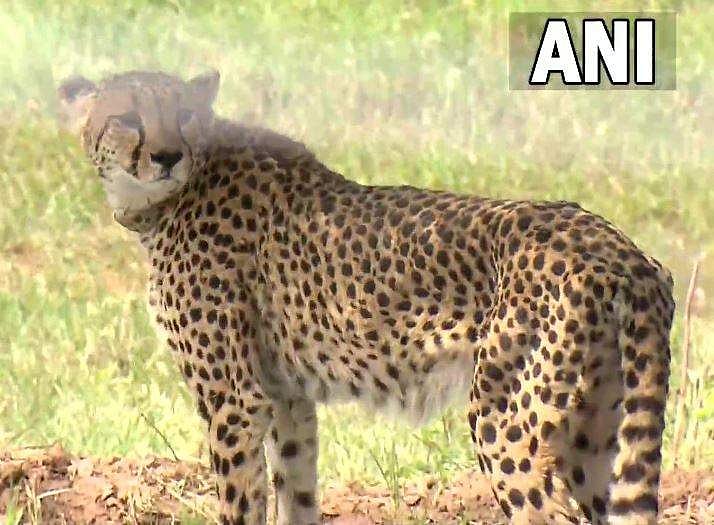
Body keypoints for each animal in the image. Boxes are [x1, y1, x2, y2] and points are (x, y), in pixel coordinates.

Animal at [58, 70, 675, 525]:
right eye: (127, 118)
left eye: (183, 114)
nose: (166, 156)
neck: (175, 194)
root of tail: (621, 250)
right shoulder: (287, 397)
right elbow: (296, 495)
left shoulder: (234, 401)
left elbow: (241, 504)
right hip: (596, 431)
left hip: (504, 420)